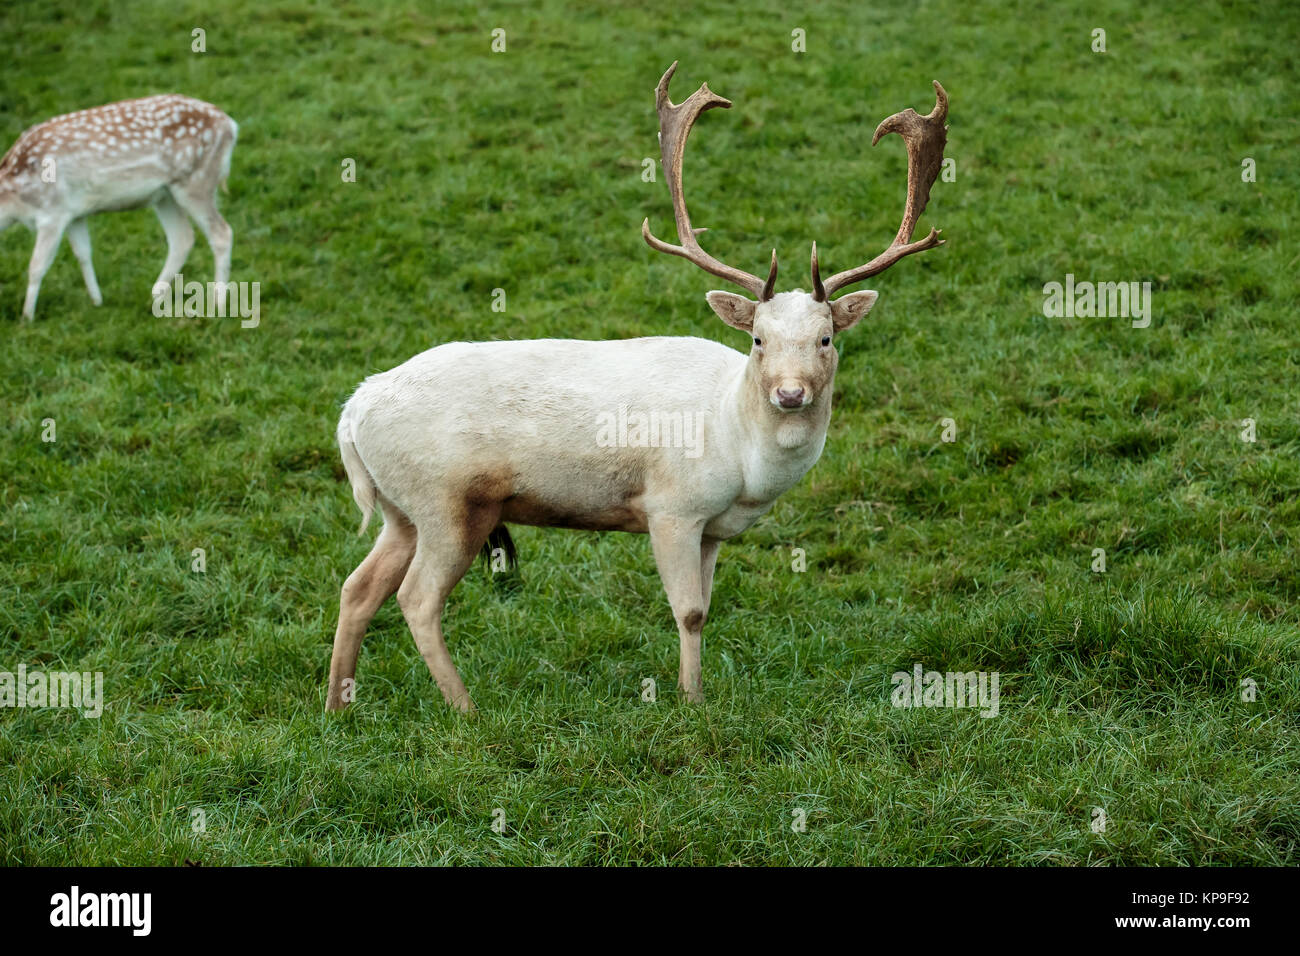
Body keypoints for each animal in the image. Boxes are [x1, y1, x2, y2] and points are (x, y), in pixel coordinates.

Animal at [0, 94, 237, 320]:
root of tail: (231, 126)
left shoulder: (52, 213)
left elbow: (37, 266)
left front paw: (26, 317)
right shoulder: (74, 213)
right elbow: (83, 253)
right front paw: (97, 301)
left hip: (196, 182)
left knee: (221, 232)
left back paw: (218, 305)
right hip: (165, 195)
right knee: (183, 238)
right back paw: (155, 296)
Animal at [326, 63, 948, 713]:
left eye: (826, 338)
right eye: (758, 338)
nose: (790, 394)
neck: (739, 455)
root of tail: (352, 410)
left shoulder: (712, 527)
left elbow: (706, 608)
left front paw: (695, 692)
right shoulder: (671, 506)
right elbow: (691, 611)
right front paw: (691, 702)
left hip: (400, 509)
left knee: (357, 586)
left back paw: (336, 708)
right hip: (447, 501)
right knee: (416, 597)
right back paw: (467, 709)